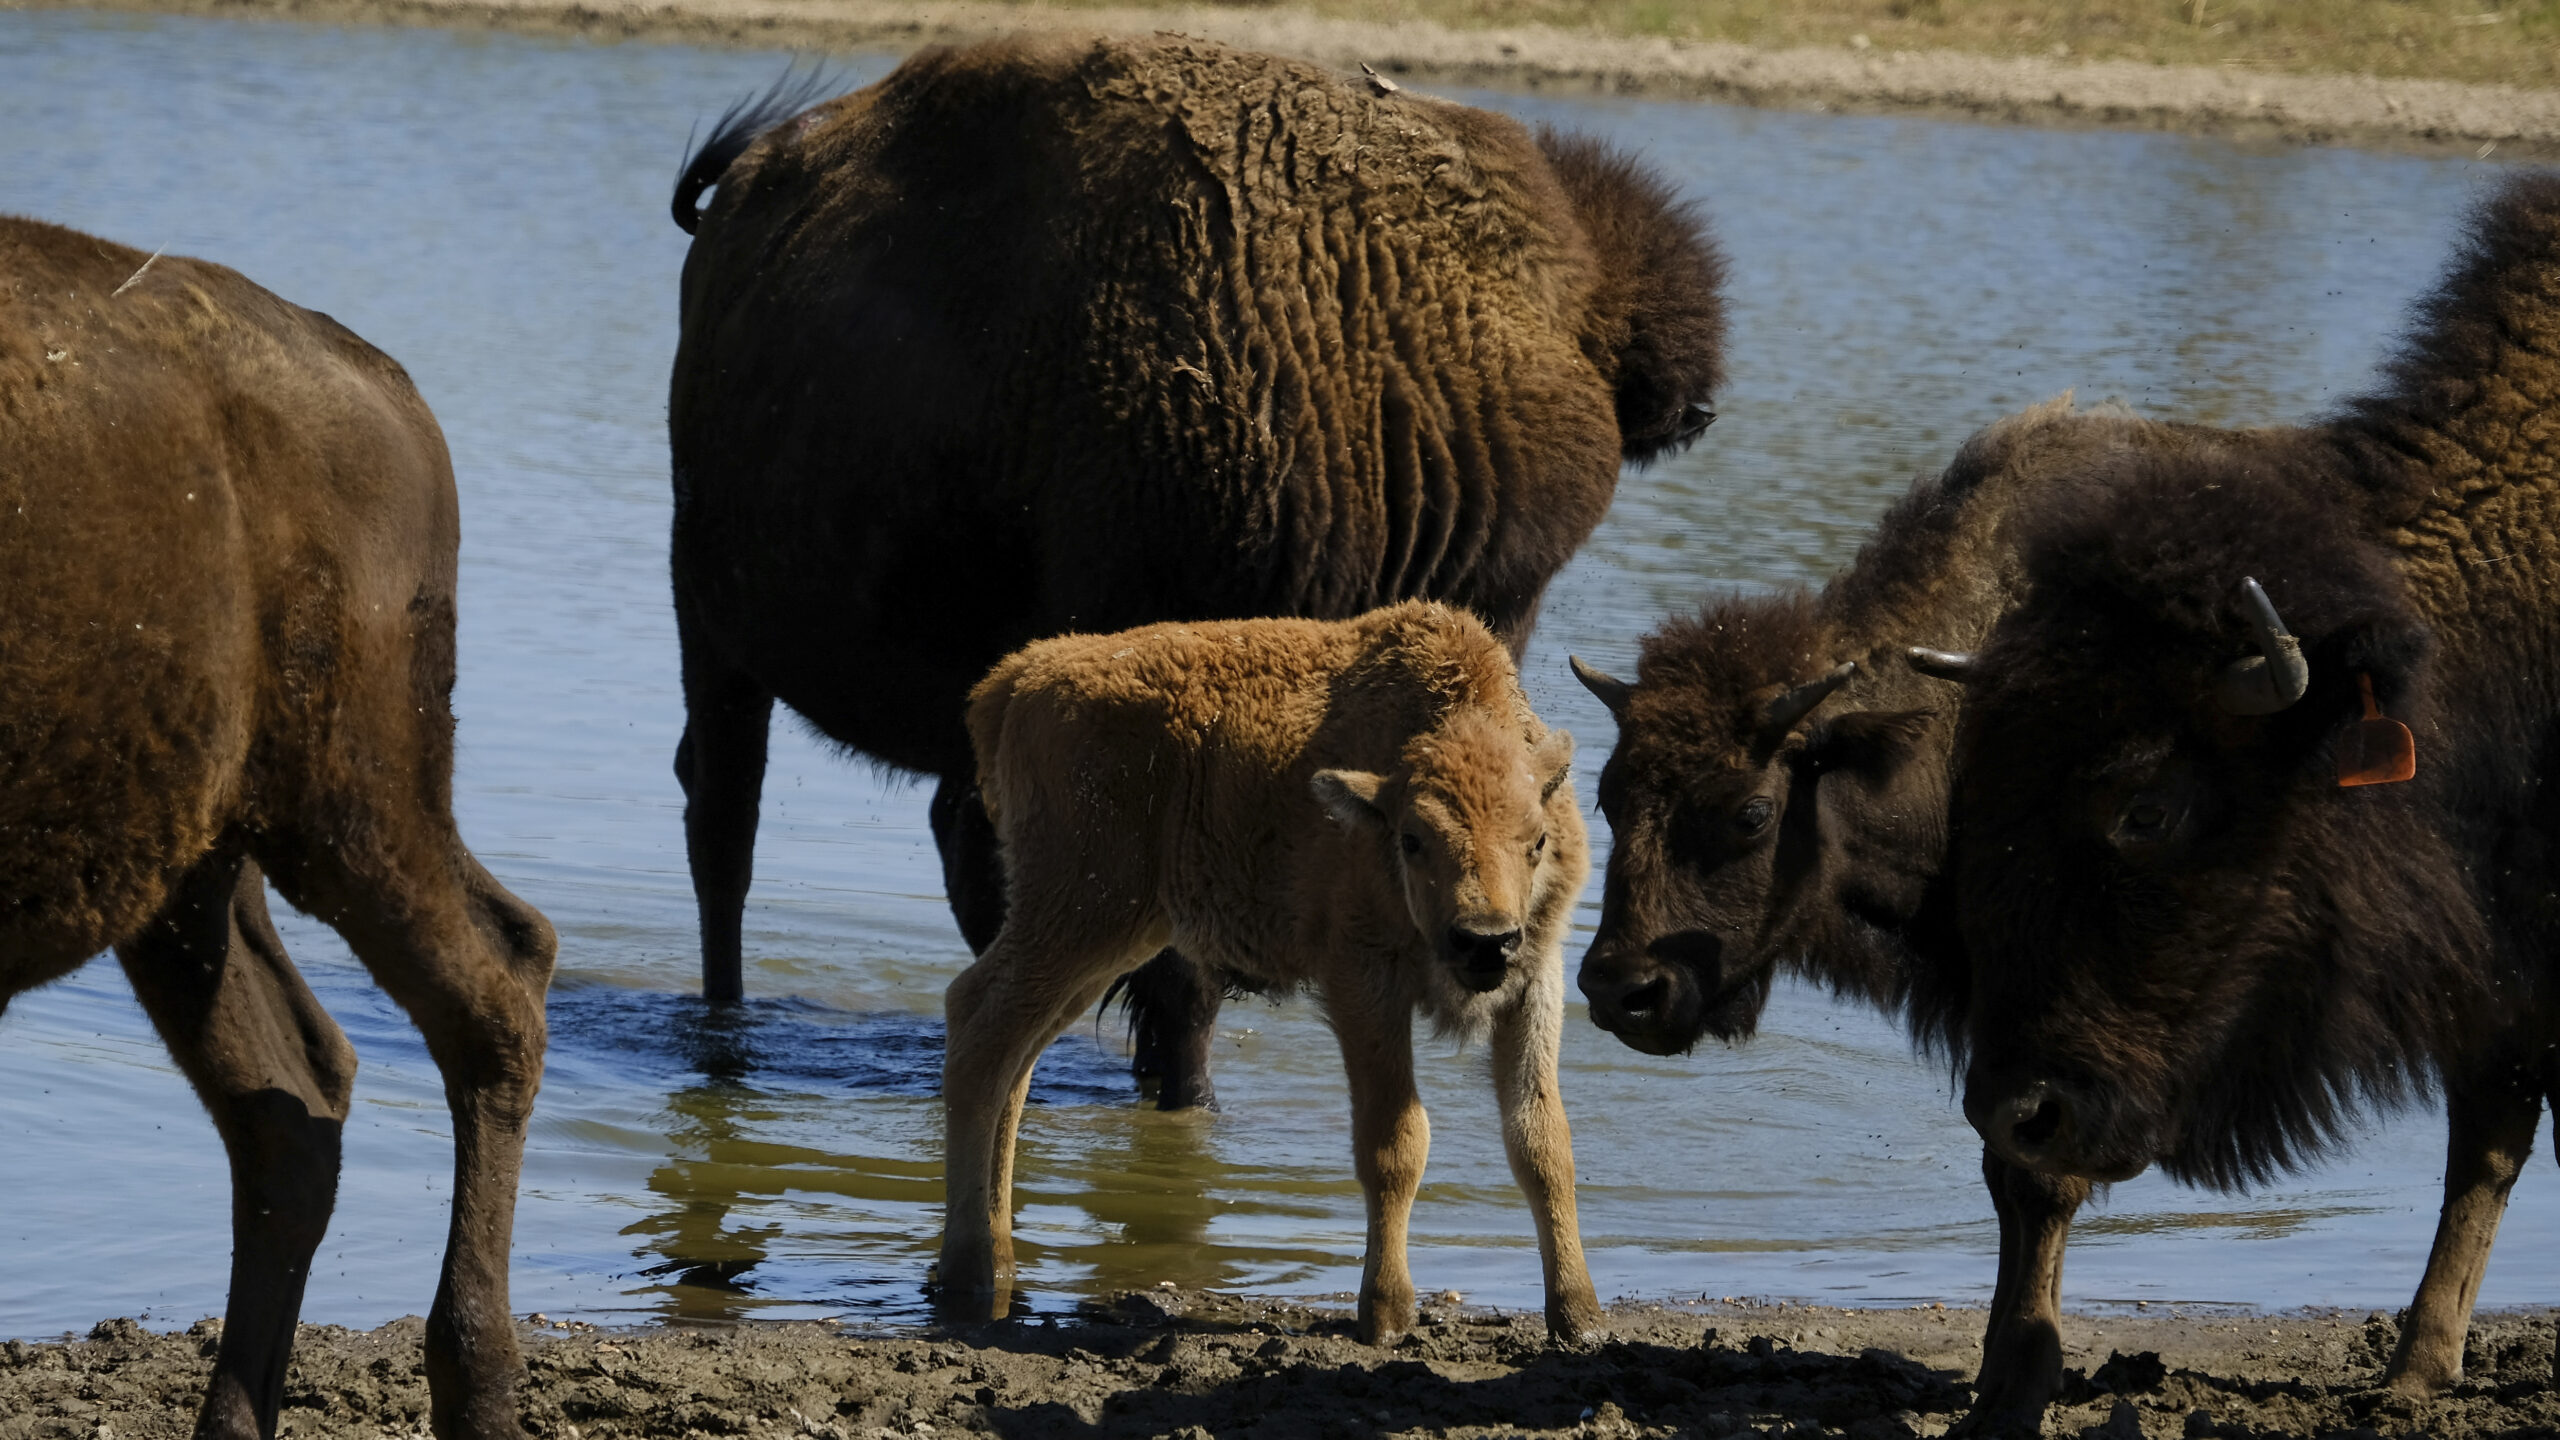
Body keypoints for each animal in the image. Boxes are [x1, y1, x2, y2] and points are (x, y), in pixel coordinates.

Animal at [0, 219, 555, 1438]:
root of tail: (378, 377)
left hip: (351, 795)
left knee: (495, 987)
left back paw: (476, 1379)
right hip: (195, 872)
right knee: (290, 1099)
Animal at [668, 33, 1725, 1108]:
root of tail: (752, 182)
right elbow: (1175, 966)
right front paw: (1187, 1104)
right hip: (708, 622)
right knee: (724, 822)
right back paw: (723, 1029)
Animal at [942, 601, 1595, 1344]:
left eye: (1537, 839)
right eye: (1412, 839)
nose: (1485, 941)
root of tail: (1016, 680)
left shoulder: (1534, 980)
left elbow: (1542, 1142)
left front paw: (1579, 1314)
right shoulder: (1362, 981)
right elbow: (1395, 1141)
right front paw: (1386, 1313)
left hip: (1111, 932)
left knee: (1014, 1057)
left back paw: (996, 1260)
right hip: (1076, 912)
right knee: (980, 1034)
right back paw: (972, 1272)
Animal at [1569, 394, 2231, 1432]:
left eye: (1752, 810)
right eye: (1607, 795)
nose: (1620, 991)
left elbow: (2038, 1175)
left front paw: (2014, 1390)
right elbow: (2006, 1172)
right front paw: (1998, 1378)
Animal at [1930, 173, 2560, 1399]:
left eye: (2147, 805)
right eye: (1975, 793)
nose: (2015, 1113)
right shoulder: (2500, 968)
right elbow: (2486, 1140)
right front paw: (2415, 1373)